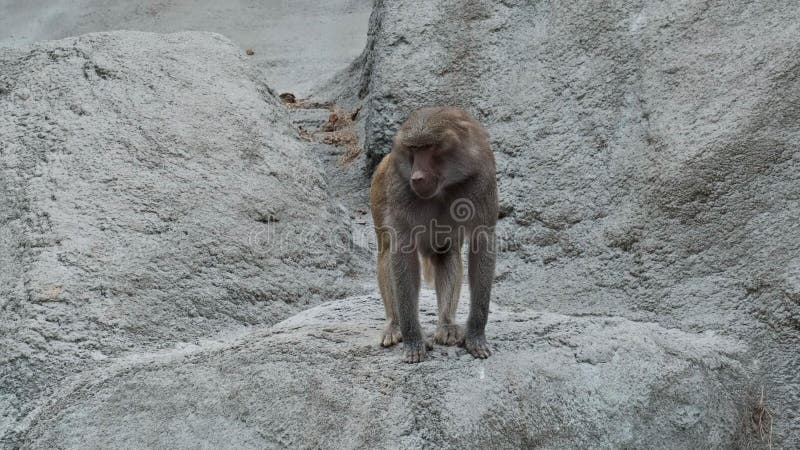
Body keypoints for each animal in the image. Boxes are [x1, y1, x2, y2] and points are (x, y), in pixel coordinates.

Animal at [370, 106, 498, 363]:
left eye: (429, 147)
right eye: (413, 149)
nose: (417, 177)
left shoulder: (483, 178)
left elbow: (482, 243)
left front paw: (476, 336)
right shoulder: (399, 186)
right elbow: (401, 251)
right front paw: (413, 341)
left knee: (446, 254)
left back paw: (446, 325)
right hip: (380, 188)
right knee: (387, 254)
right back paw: (394, 325)